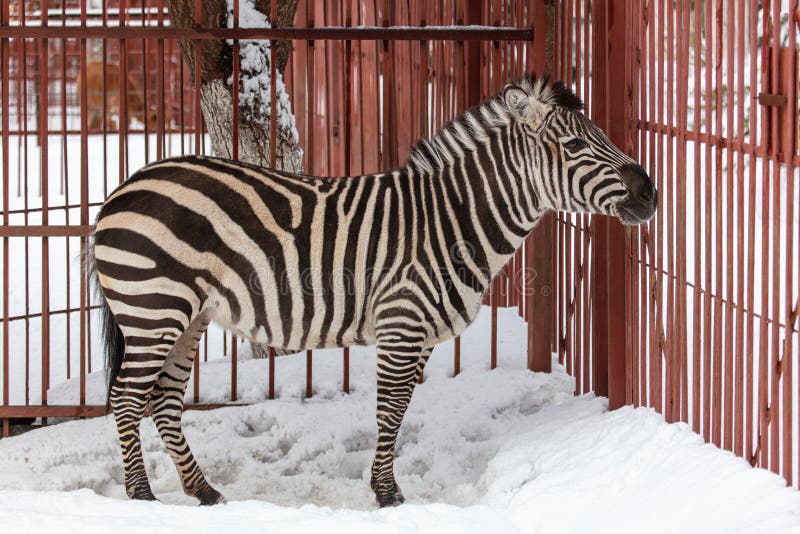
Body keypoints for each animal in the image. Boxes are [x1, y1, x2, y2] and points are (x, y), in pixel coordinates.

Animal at [89, 73, 656, 507]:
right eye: (575, 145)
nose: (651, 193)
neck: (452, 221)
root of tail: (123, 186)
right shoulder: (401, 324)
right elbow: (390, 410)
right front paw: (387, 495)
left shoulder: (418, 335)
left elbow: (398, 411)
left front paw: (385, 488)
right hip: (153, 307)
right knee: (126, 398)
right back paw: (142, 498)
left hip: (188, 315)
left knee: (163, 399)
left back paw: (204, 492)